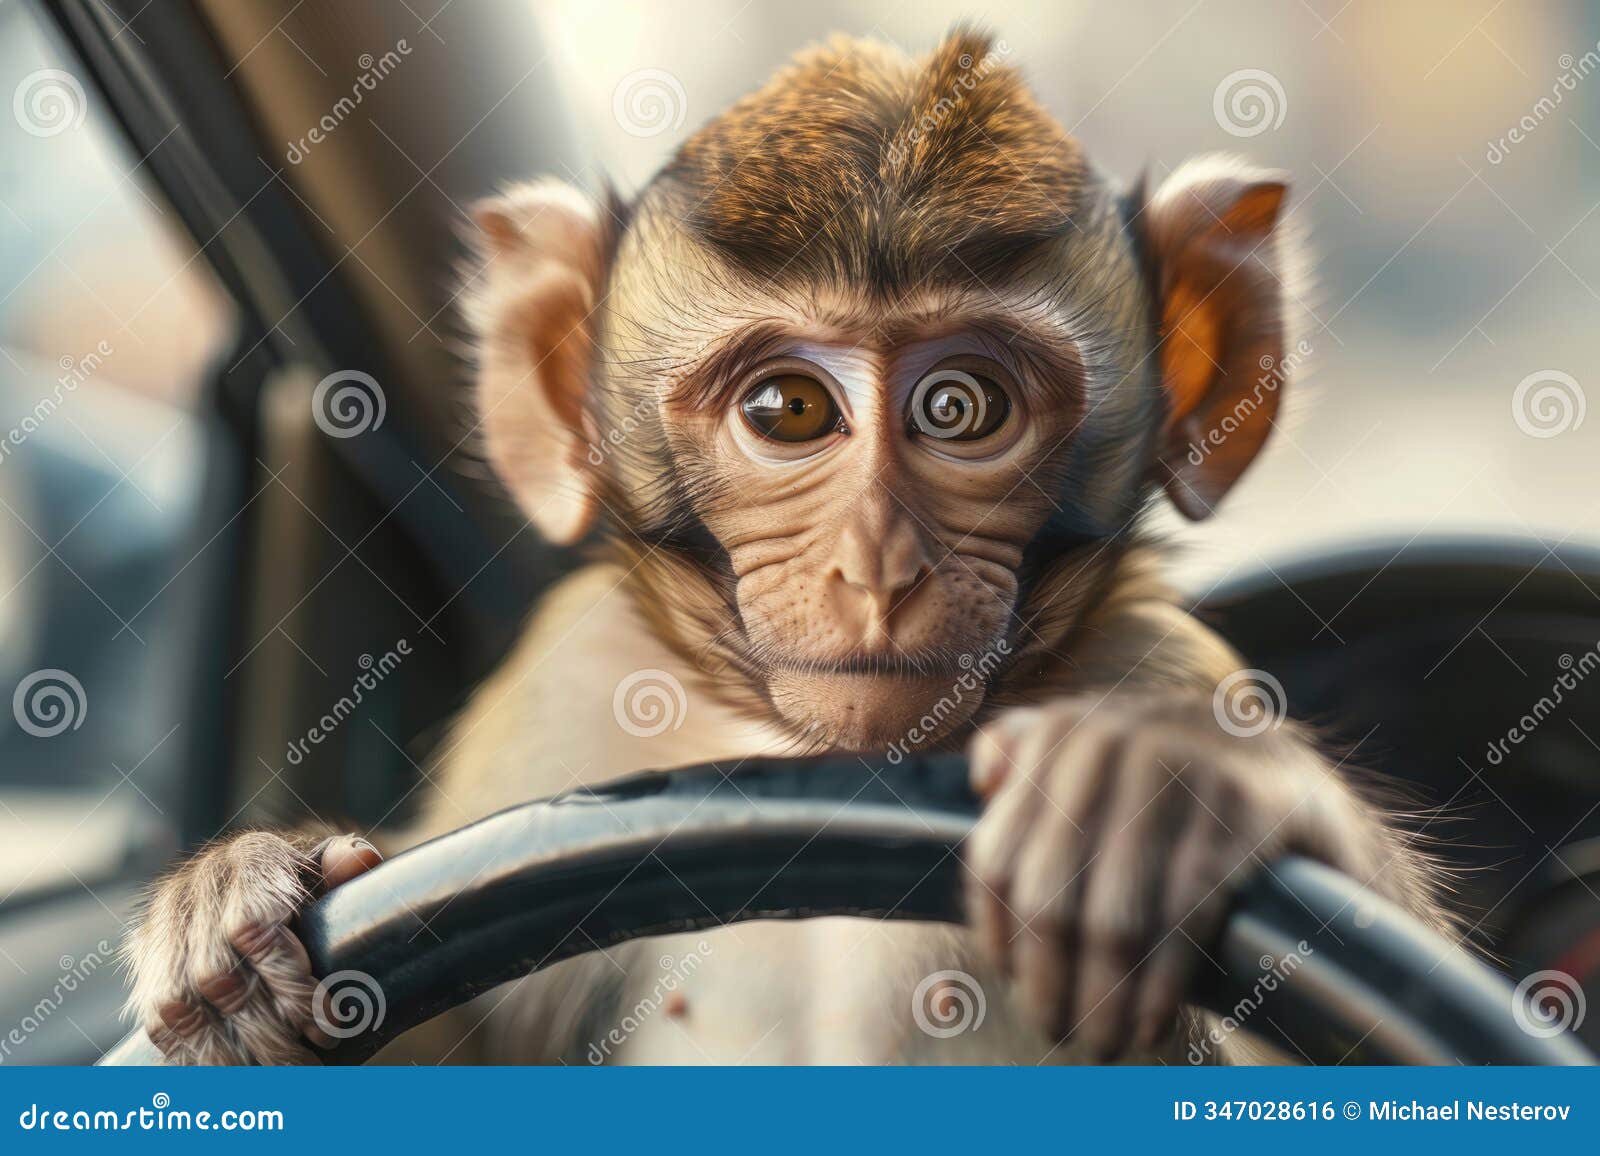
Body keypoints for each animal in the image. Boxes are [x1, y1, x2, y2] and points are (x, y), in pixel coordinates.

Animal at [123, 28, 1454, 1066]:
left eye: (963, 406)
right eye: (787, 410)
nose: (875, 567)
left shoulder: (1158, 664)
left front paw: (1177, 787)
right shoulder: (562, 693)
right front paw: (247, 891)